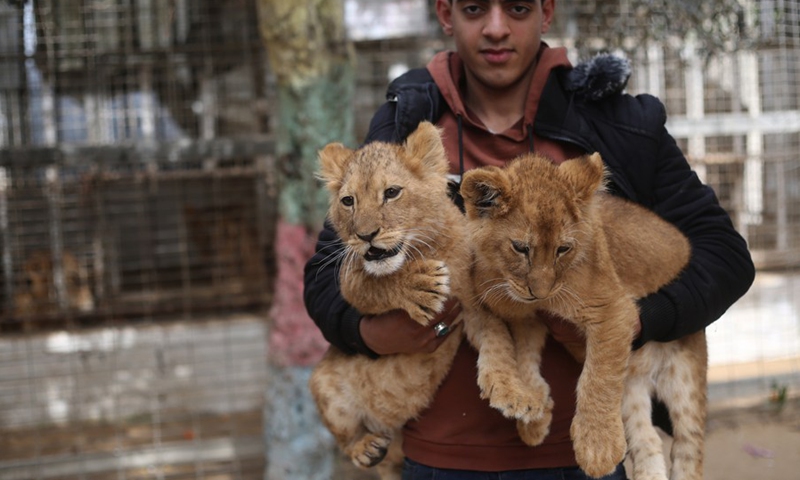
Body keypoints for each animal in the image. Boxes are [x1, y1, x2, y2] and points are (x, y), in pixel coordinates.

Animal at [308, 122, 470, 479]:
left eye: (392, 192)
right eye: (348, 201)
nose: (366, 235)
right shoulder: (349, 276)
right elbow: (373, 285)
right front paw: (419, 286)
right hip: (324, 384)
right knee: (345, 436)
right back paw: (365, 447)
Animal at [459, 152, 706, 480]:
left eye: (563, 249)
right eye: (520, 248)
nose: (539, 292)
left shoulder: (615, 310)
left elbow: (598, 377)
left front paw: (597, 448)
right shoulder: (529, 316)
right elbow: (525, 355)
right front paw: (534, 411)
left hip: (685, 378)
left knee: (689, 449)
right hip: (631, 388)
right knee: (648, 440)